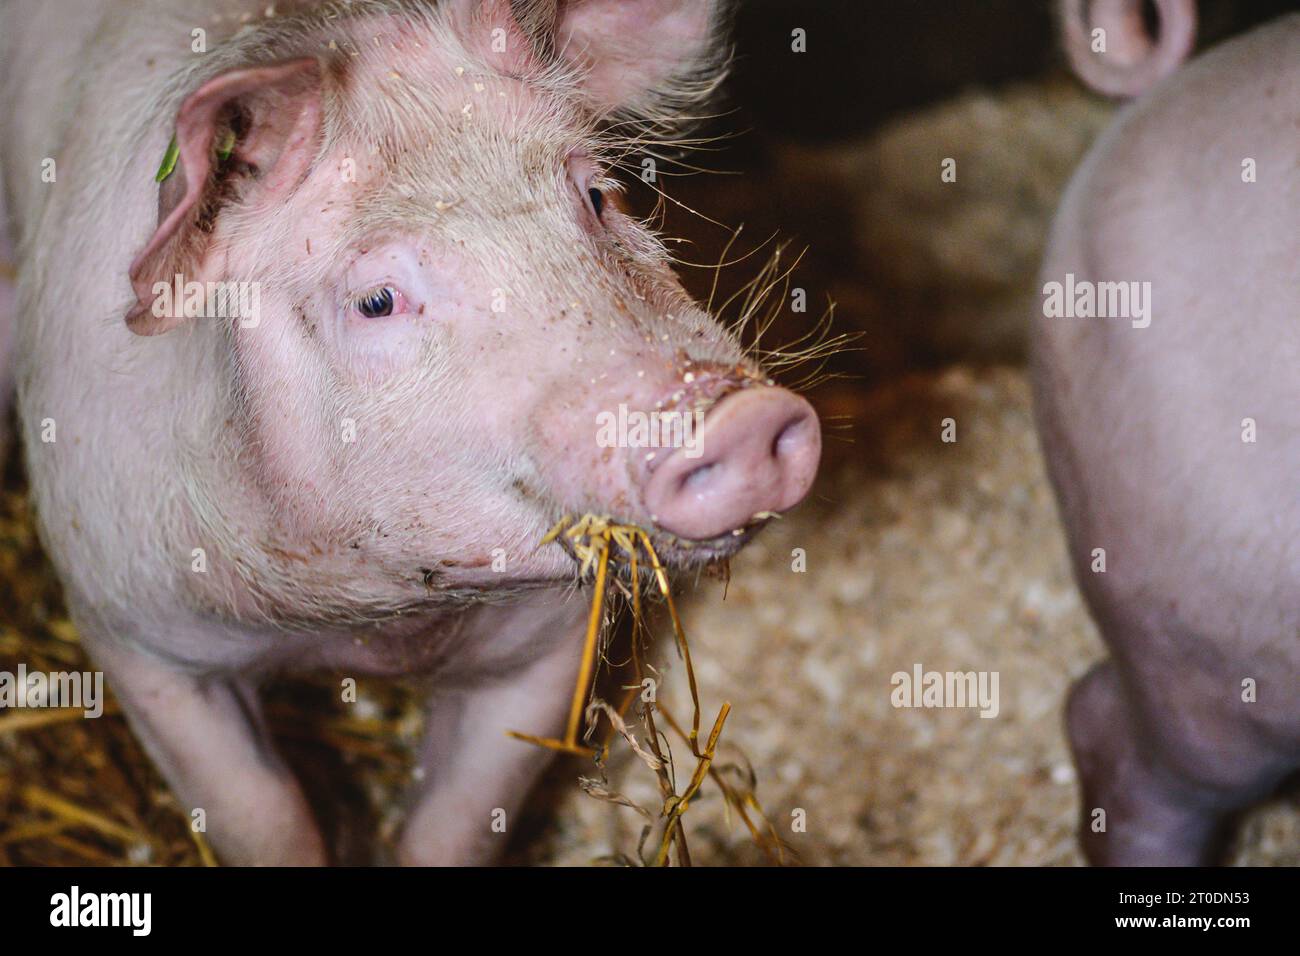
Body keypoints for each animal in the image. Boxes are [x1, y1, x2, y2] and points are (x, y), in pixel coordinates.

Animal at [0, 0, 822, 865]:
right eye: (377, 300)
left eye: (599, 196)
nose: (736, 418)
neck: (369, 626)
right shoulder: (130, 628)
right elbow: (262, 816)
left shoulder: (547, 651)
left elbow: (454, 822)